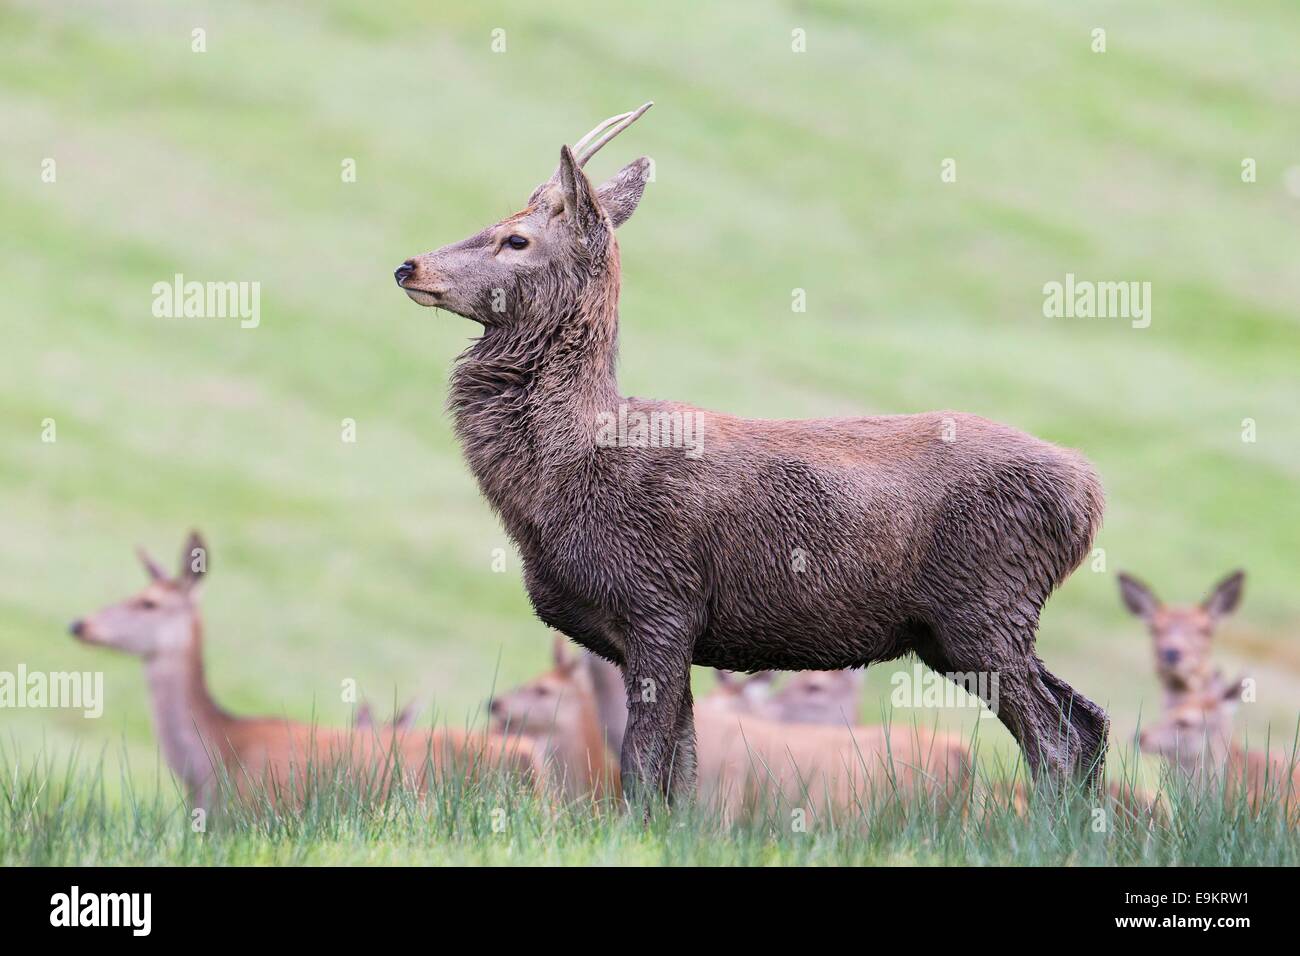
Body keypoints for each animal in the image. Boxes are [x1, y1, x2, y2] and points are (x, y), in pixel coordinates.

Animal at [394, 102, 1108, 803]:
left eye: (515, 239)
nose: (409, 266)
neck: (560, 475)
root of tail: (1090, 495)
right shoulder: (662, 630)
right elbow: (680, 773)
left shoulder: (660, 603)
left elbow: (642, 767)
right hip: (966, 628)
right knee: (1089, 721)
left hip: (984, 606)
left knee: (1054, 739)